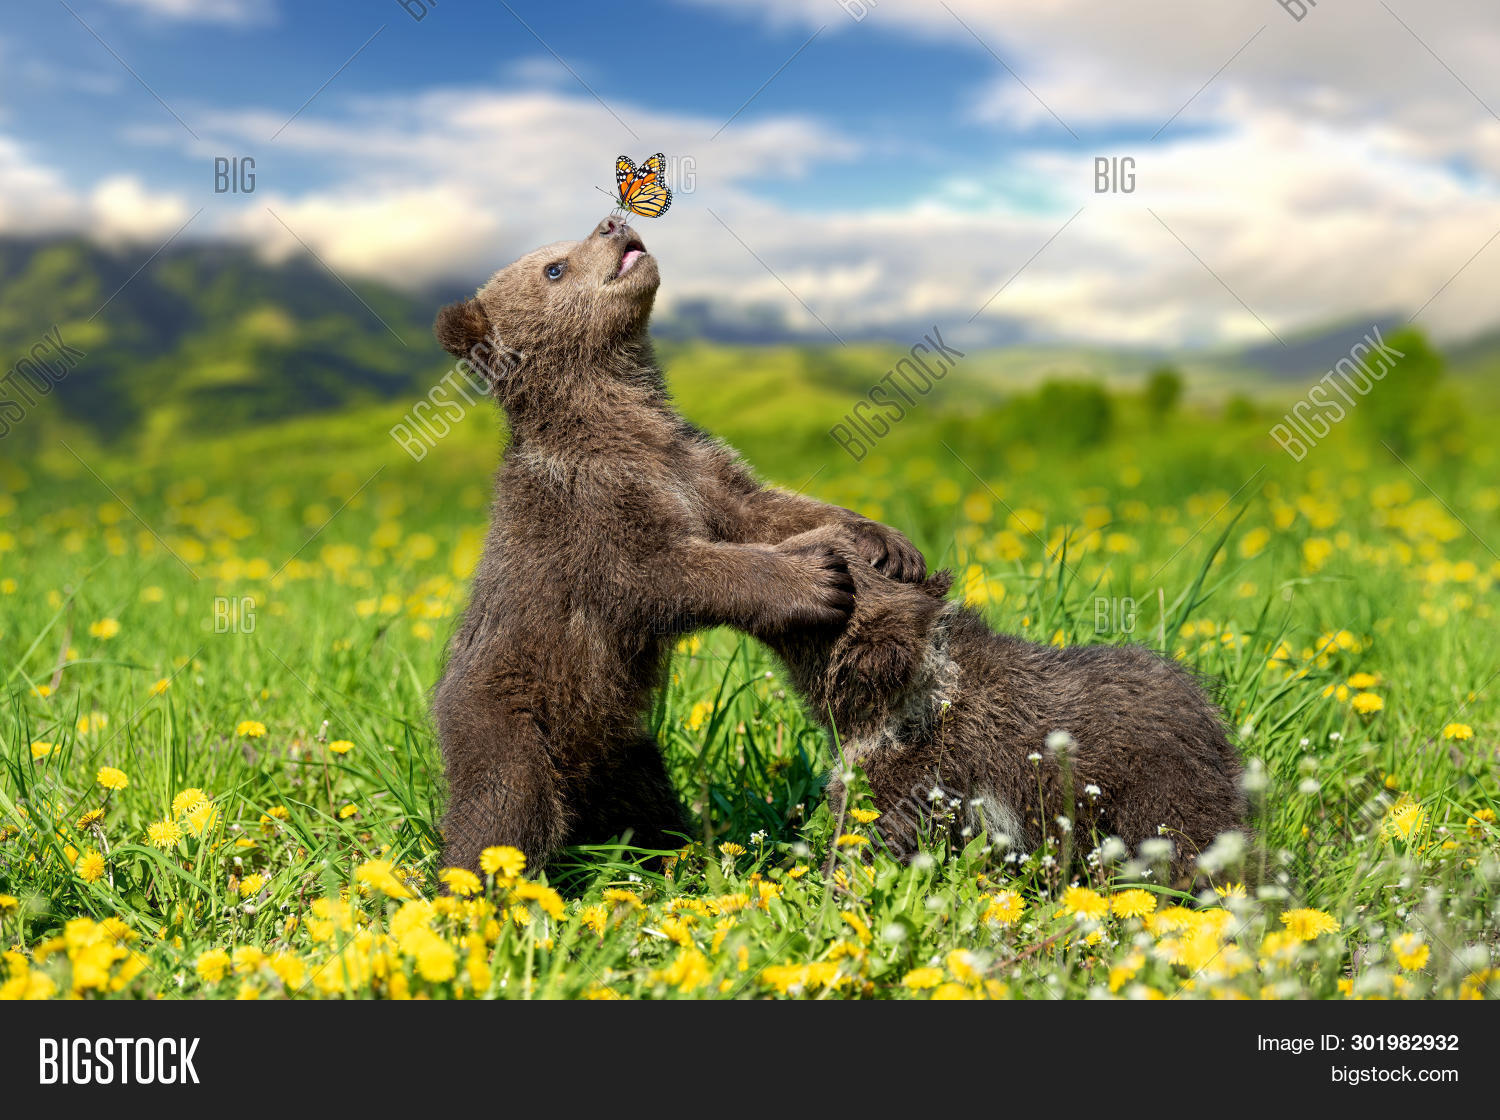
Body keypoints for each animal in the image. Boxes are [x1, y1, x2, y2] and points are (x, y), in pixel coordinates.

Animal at [429, 216, 926, 873]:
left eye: (565, 246)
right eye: (554, 267)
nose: (613, 222)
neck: (621, 424)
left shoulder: (696, 468)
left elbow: (766, 510)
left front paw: (886, 541)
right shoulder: (590, 511)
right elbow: (657, 572)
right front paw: (814, 582)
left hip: (623, 746)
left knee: (647, 802)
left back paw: (675, 855)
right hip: (507, 712)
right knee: (502, 807)